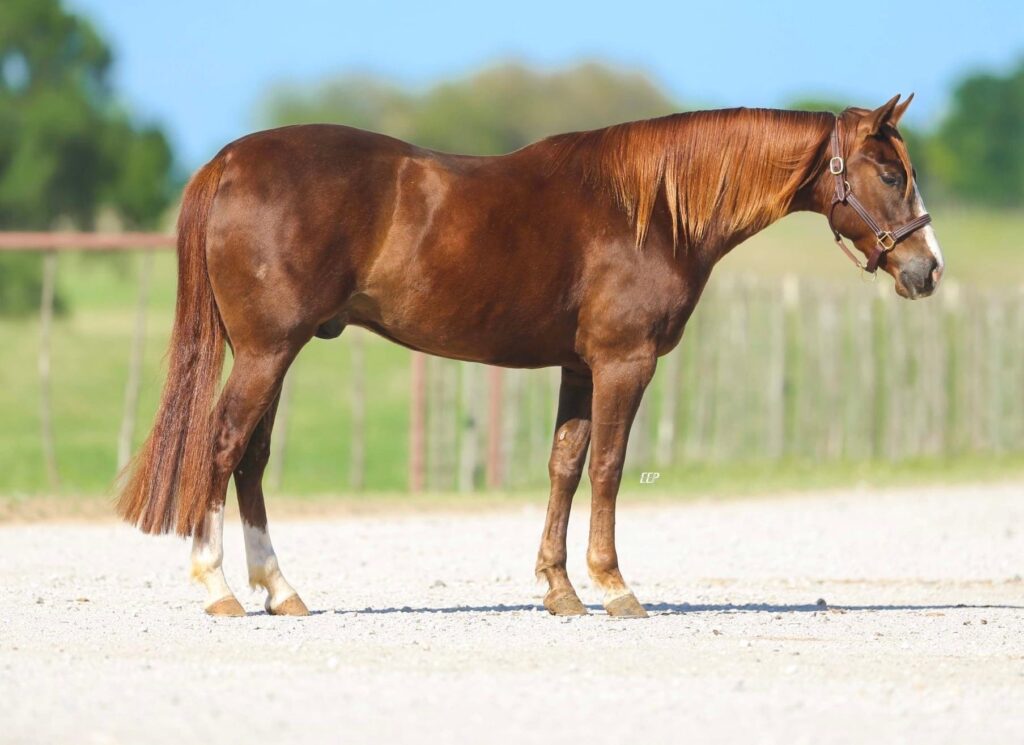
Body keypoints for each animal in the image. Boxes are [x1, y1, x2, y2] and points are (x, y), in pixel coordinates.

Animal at [117, 94, 943, 618]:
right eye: (891, 174)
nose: (928, 269)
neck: (650, 210)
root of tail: (227, 161)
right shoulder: (624, 362)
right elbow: (607, 466)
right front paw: (614, 587)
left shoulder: (579, 367)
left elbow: (564, 465)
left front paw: (559, 589)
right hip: (266, 352)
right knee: (222, 445)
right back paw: (219, 588)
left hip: (272, 354)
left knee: (250, 459)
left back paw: (281, 590)